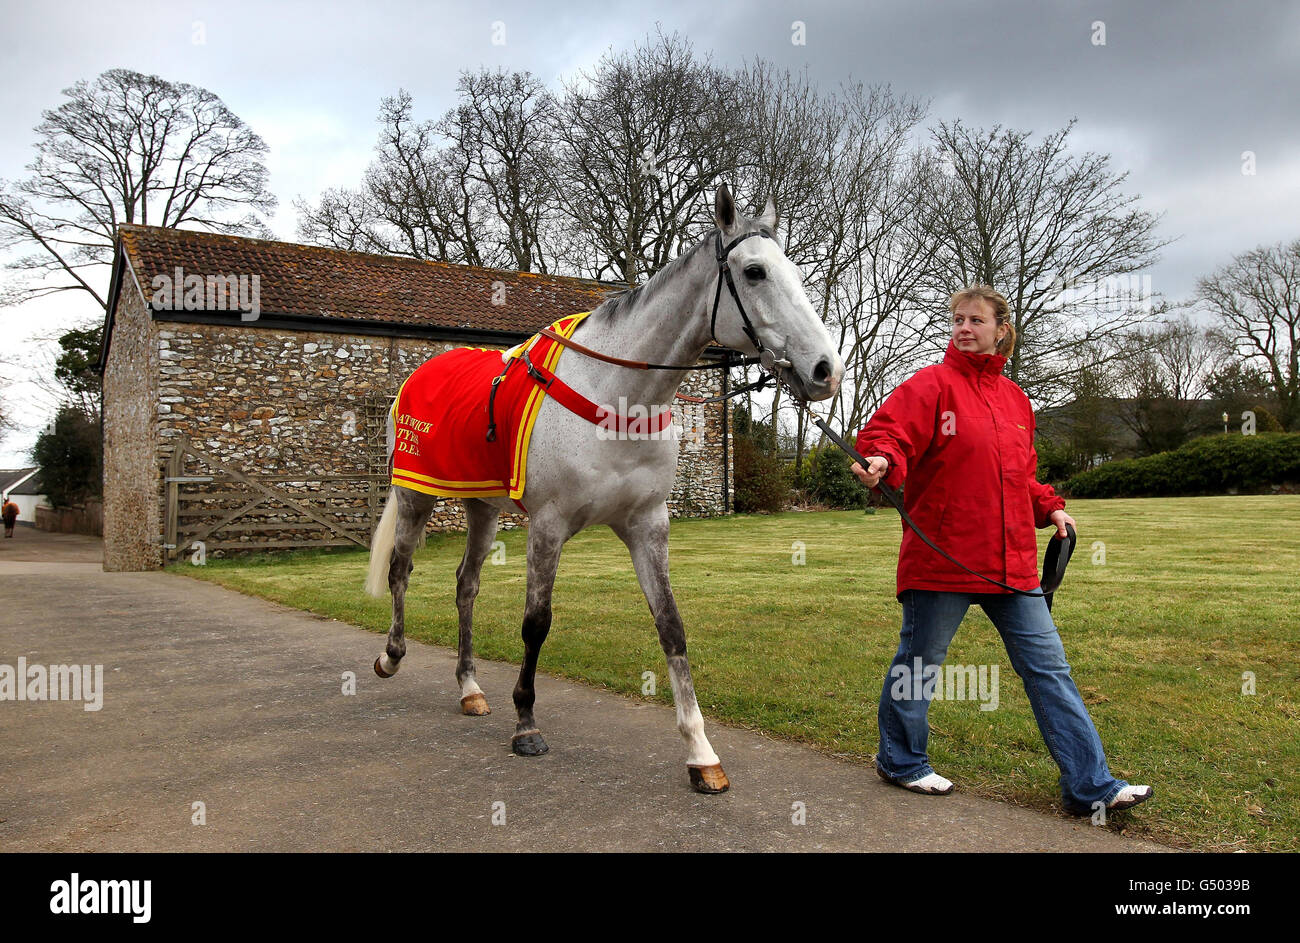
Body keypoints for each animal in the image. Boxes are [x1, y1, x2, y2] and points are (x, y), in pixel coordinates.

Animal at [364, 185, 844, 793]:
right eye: (754, 271)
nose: (826, 369)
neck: (616, 396)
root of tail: (417, 377)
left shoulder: (647, 525)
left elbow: (671, 626)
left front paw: (701, 752)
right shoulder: (547, 526)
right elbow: (536, 624)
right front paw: (526, 724)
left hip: (482, 507)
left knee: (465, 585)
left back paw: (470, 688)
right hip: (415, 495)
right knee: (401, 570)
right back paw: (391, 656)